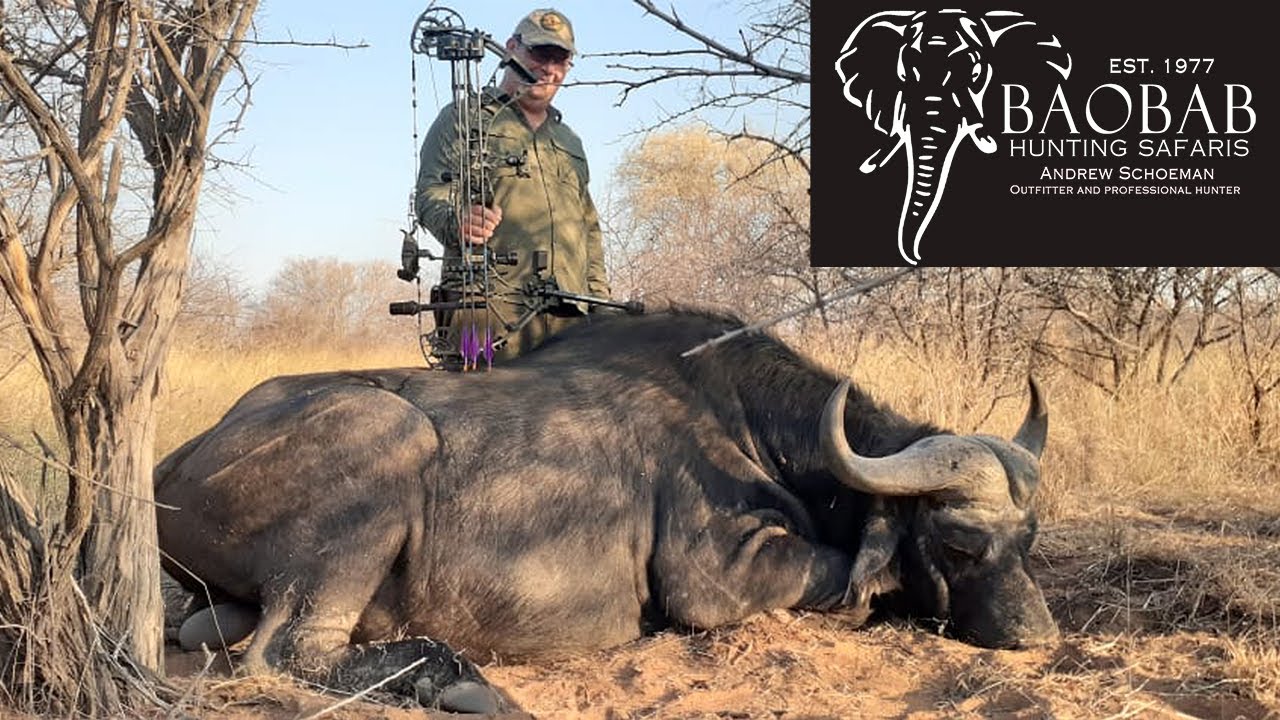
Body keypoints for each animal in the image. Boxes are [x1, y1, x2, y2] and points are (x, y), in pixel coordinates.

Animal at [156, 308, 1057, 712]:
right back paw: (465, 681)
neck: (748, 420)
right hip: (388, 434)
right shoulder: (722, 577)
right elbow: (851, 584)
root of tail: (172, 465)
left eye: (1028, 538)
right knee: (285, 653)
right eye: (958, 540)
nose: (1038, 635)